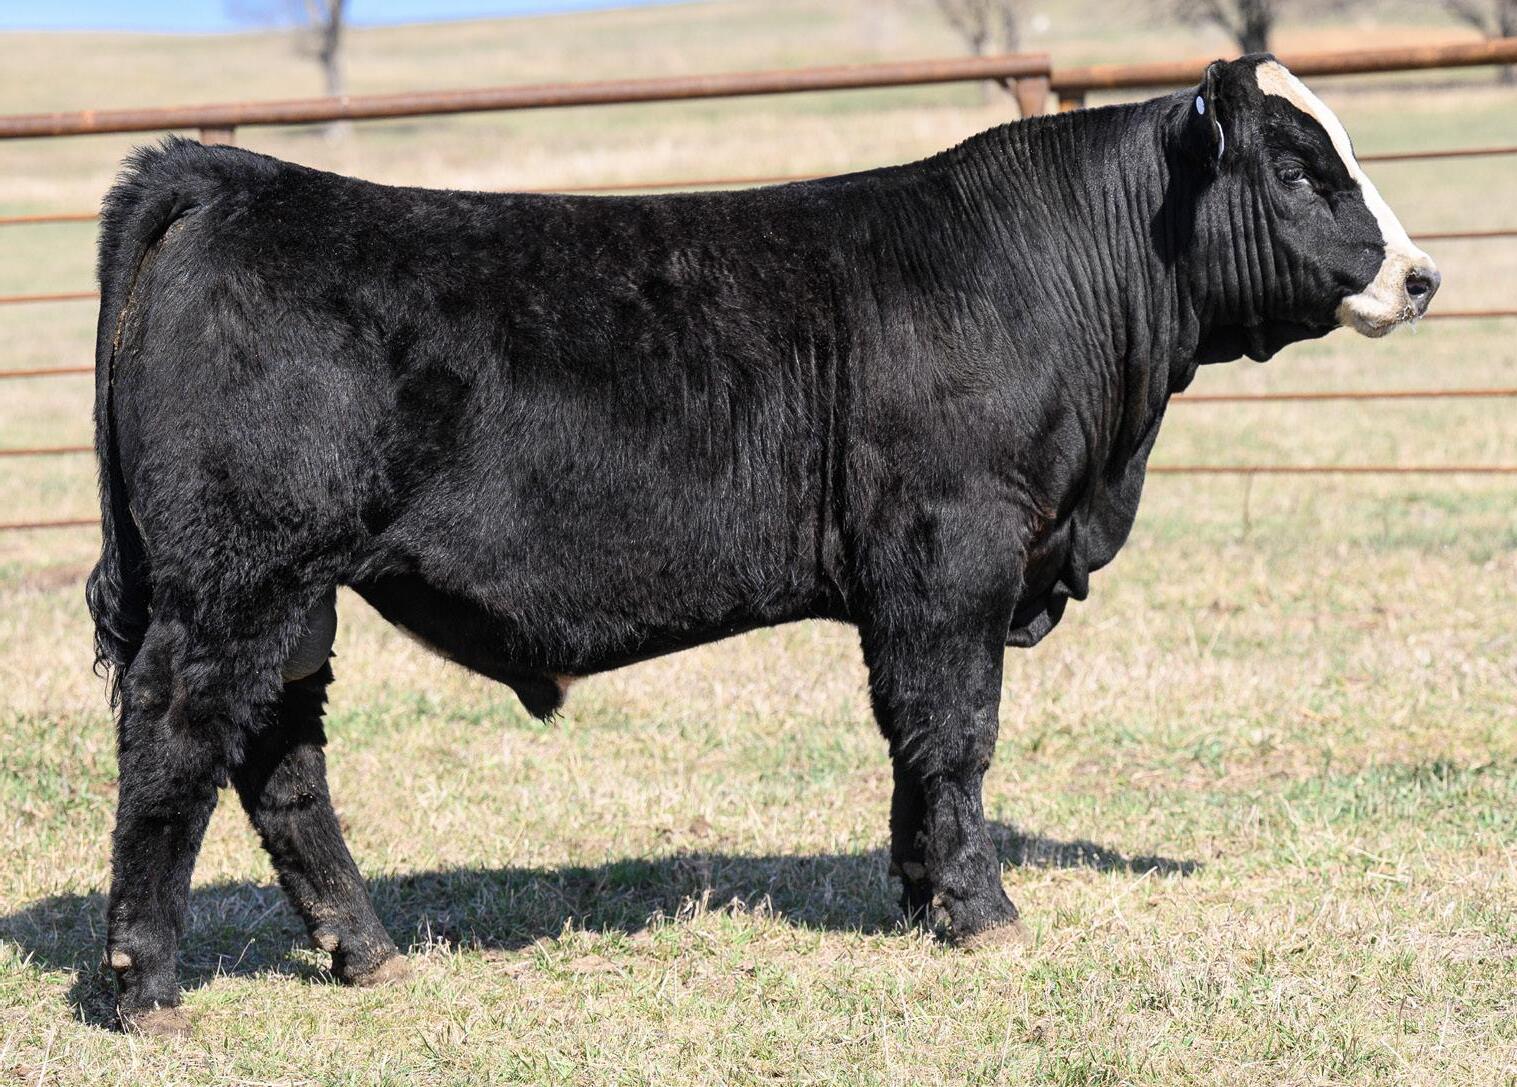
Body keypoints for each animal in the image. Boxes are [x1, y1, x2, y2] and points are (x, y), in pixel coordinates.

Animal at [86, 55, 1438, 1035]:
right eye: (1298, 168)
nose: (1419, 275)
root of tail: (228, 173)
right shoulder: (952, 552)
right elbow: (955, 733)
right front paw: (981, 910)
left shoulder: (911, 586)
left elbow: (910, 742)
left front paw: (920, 897)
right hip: (237, 578)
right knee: (175, 736)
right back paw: (148, 986)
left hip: (293, 593)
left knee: (281, 762)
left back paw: (364, 954)